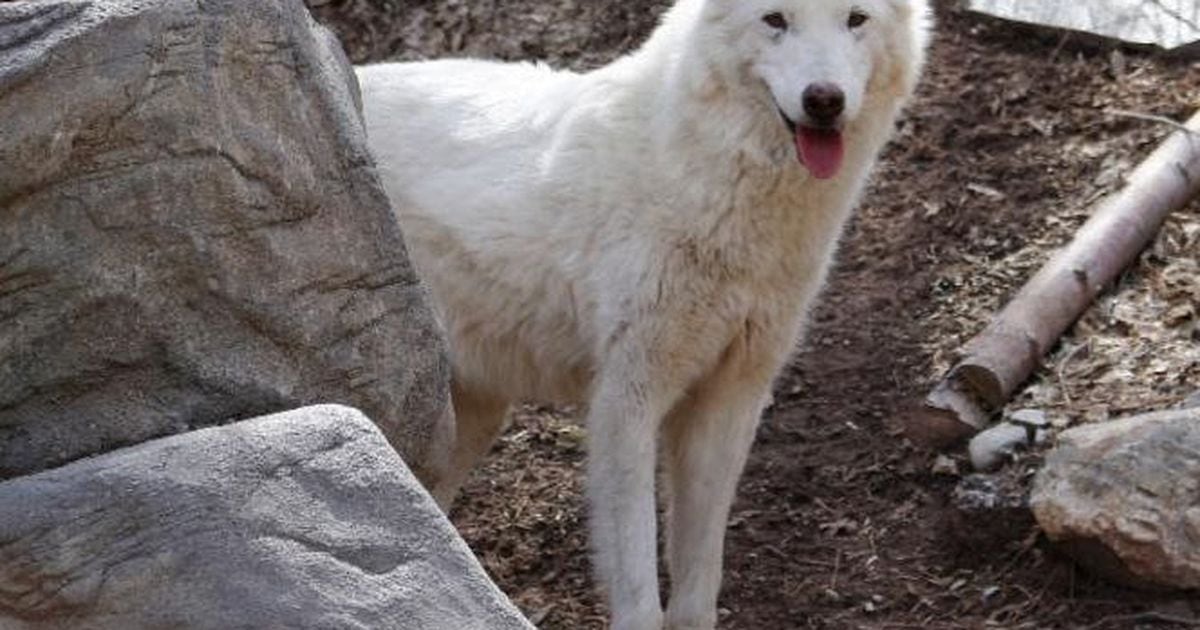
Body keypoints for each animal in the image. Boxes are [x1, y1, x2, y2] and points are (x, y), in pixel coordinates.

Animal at [356, 0, 929, 627]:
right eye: (775, 20)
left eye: (856, 20)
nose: (823, 99)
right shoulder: (628, 397)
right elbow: (637, 581)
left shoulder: (731, 397)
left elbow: (698, 582)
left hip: (473, 418)